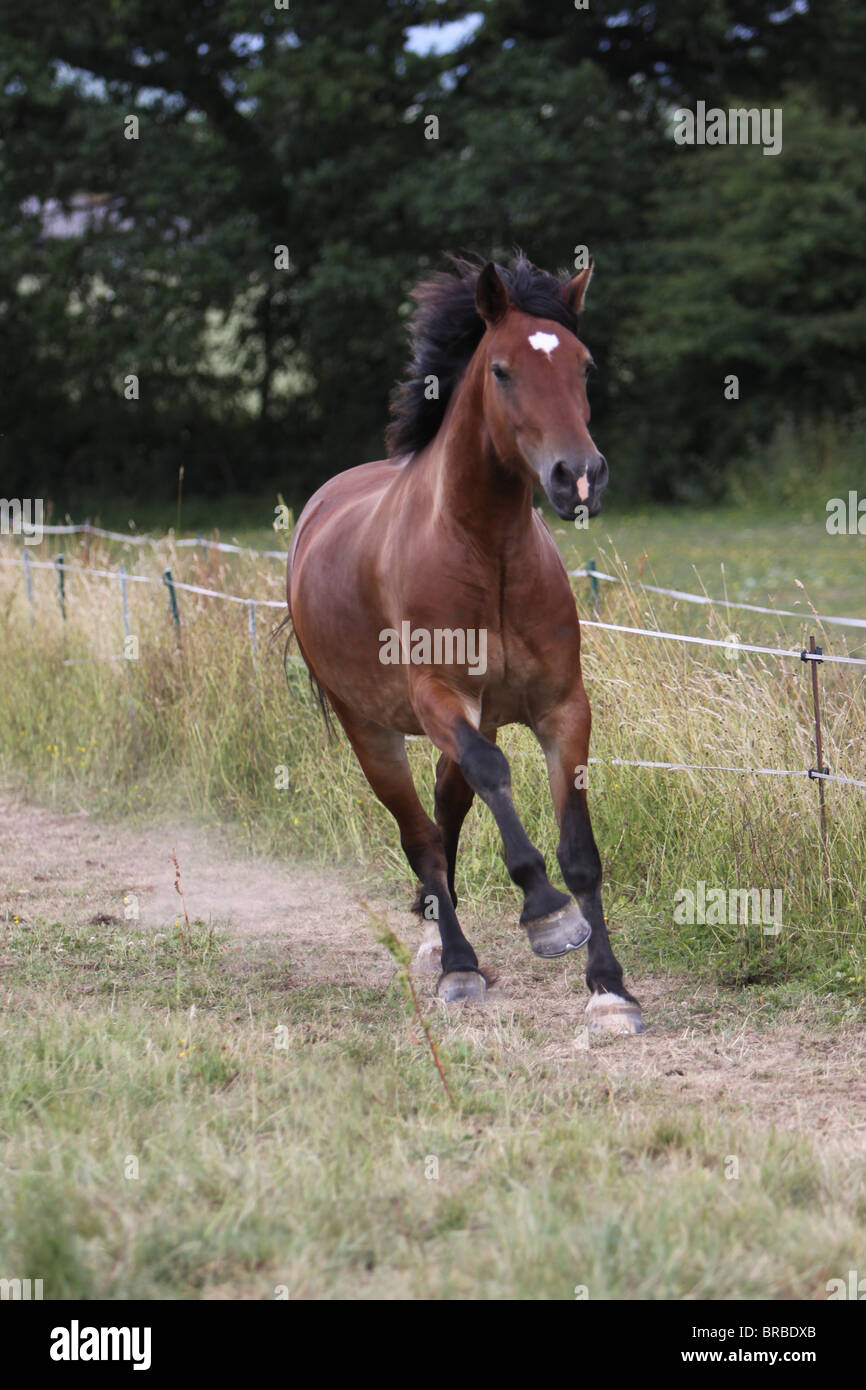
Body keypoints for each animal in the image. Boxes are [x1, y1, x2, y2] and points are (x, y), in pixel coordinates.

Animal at [286, 253, 643, 1035]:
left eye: (584, 365)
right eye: (503, 370)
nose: (579, 477)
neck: (490, 554)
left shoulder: (562, 708)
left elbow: (580, 848)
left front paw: (609, 989)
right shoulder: (439, 698)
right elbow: (492, 774)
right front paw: (546, 916)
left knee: (446, 817)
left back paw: (435, 937)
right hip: (372, 730)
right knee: (421, 832)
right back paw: (455, 963)